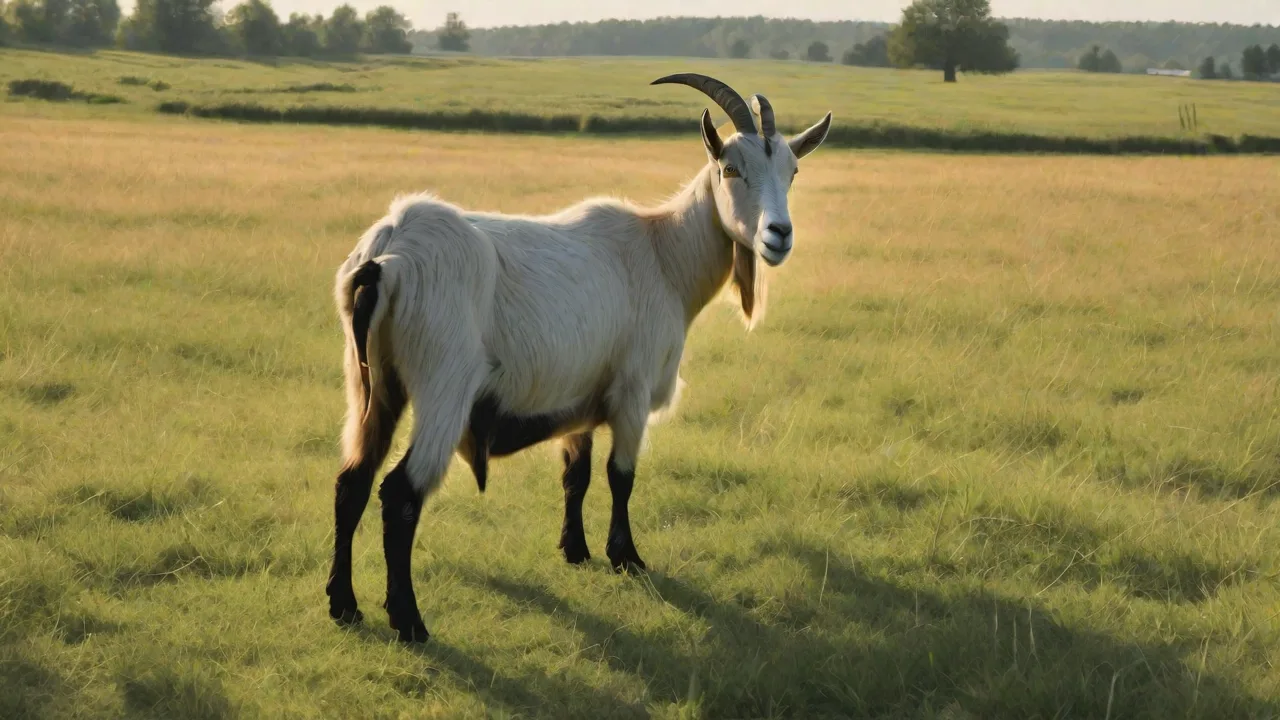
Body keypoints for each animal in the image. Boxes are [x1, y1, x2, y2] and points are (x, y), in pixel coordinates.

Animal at [325, 74, 833, 642]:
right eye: (730, 168)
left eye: (792, 171)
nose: (778, 235)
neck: (662, 256)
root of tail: (387, 253)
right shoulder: (632, 390)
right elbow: (621, 475)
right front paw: (627, 557)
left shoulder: (581, 398)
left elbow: (577, 473)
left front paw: (575, 550)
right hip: (443, 388)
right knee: (400, 493)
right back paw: (408, 619)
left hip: (372, 384)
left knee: (352, 481)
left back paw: (344, 605)